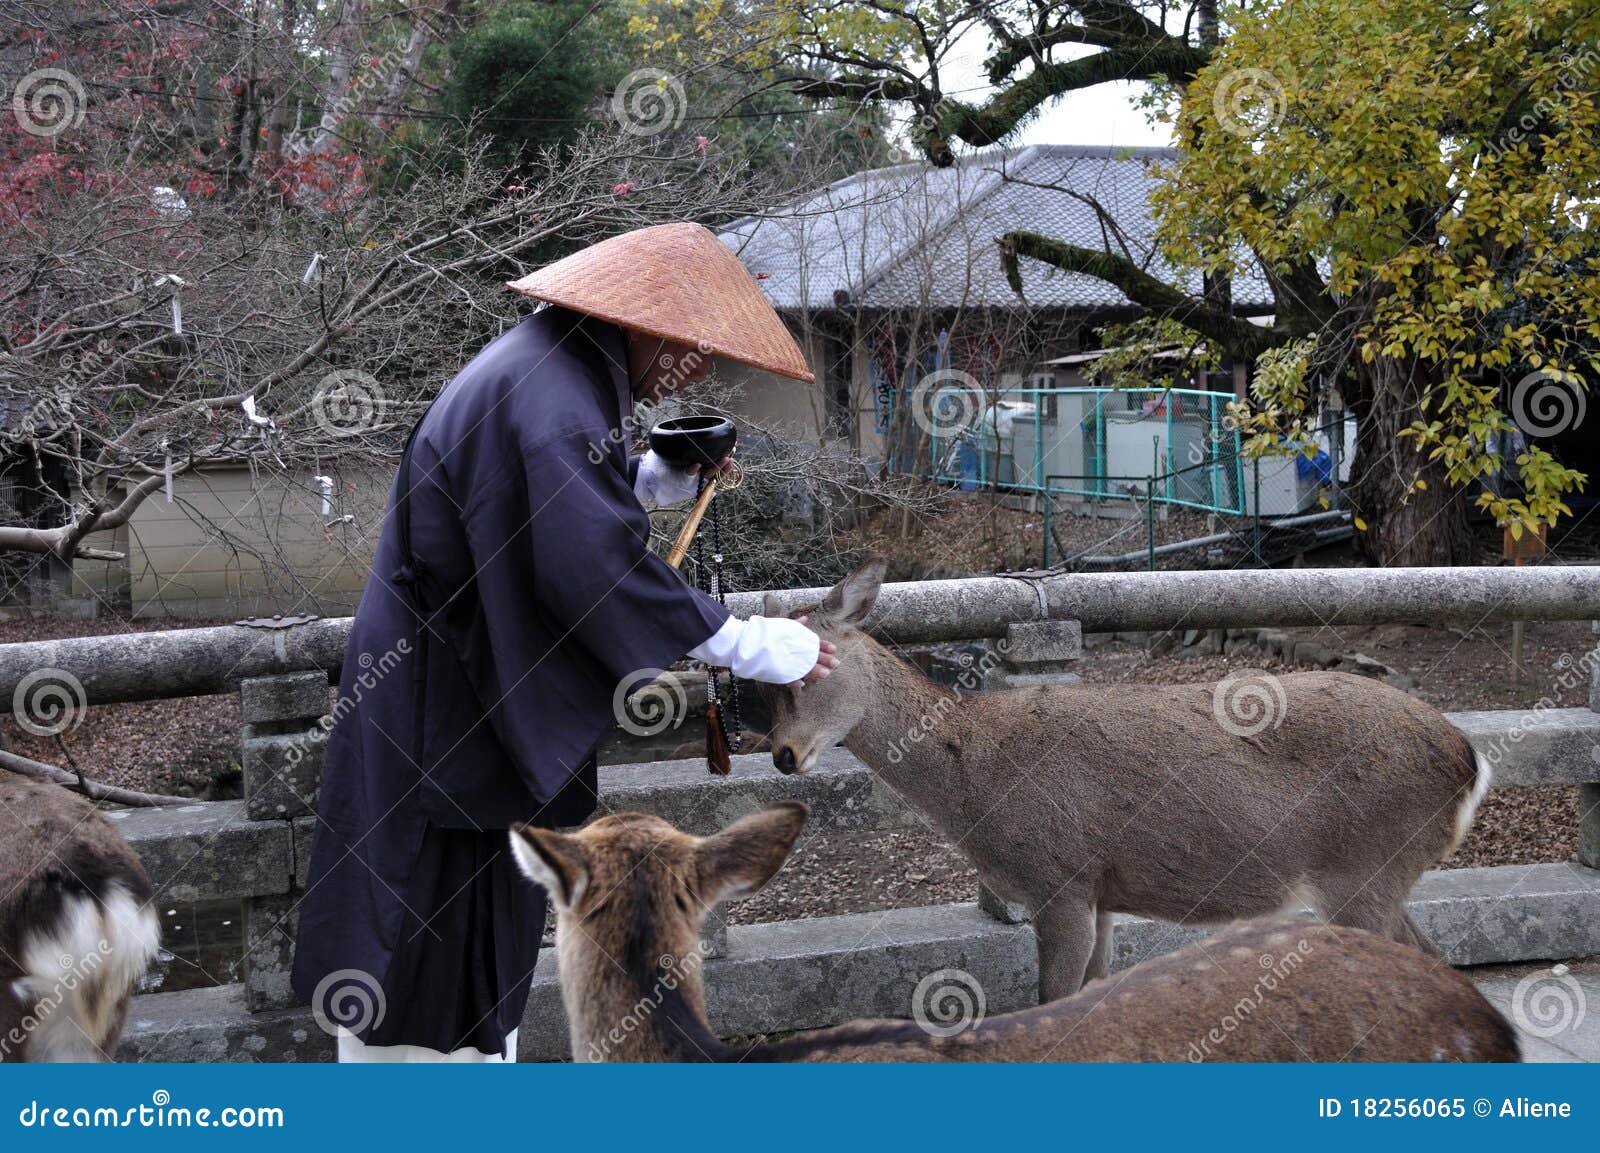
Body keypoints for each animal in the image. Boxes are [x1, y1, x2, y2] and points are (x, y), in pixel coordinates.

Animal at [756, 559, 1492, 1002]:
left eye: (811, 665)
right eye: (757, 678)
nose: (784, 755)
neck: (976, 784)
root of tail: (1469, 760)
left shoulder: (1058, 876)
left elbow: (1050, 1001)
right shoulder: (1100, 886)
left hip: (1367, 866)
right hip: (1383, 875)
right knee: (1435, 955)